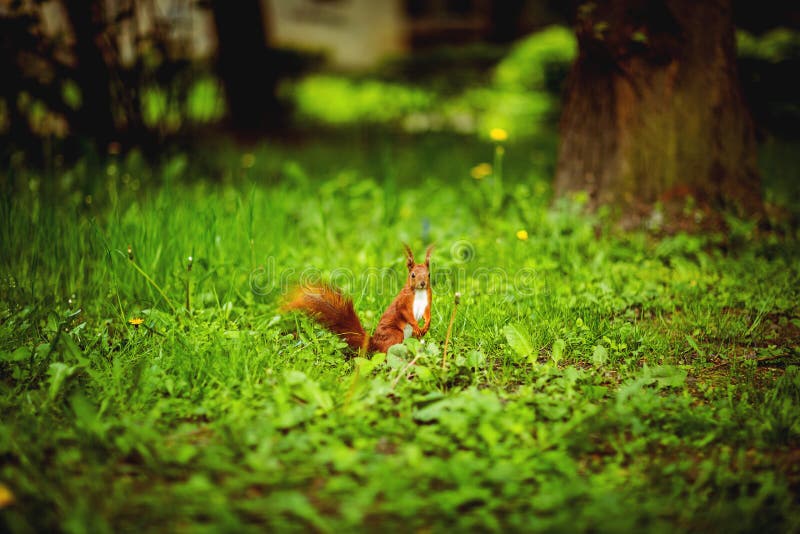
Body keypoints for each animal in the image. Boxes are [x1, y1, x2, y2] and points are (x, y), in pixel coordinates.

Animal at [283, 244, 433, 353]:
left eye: (429, 274)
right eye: (413, 275)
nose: (423, 283)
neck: (419, 293)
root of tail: (374, 343)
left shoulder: (427, 301)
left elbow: (427, 314)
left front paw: (425, 326)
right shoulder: (403, 302)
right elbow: (405, 313)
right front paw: (417, 325)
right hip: (394, 334)